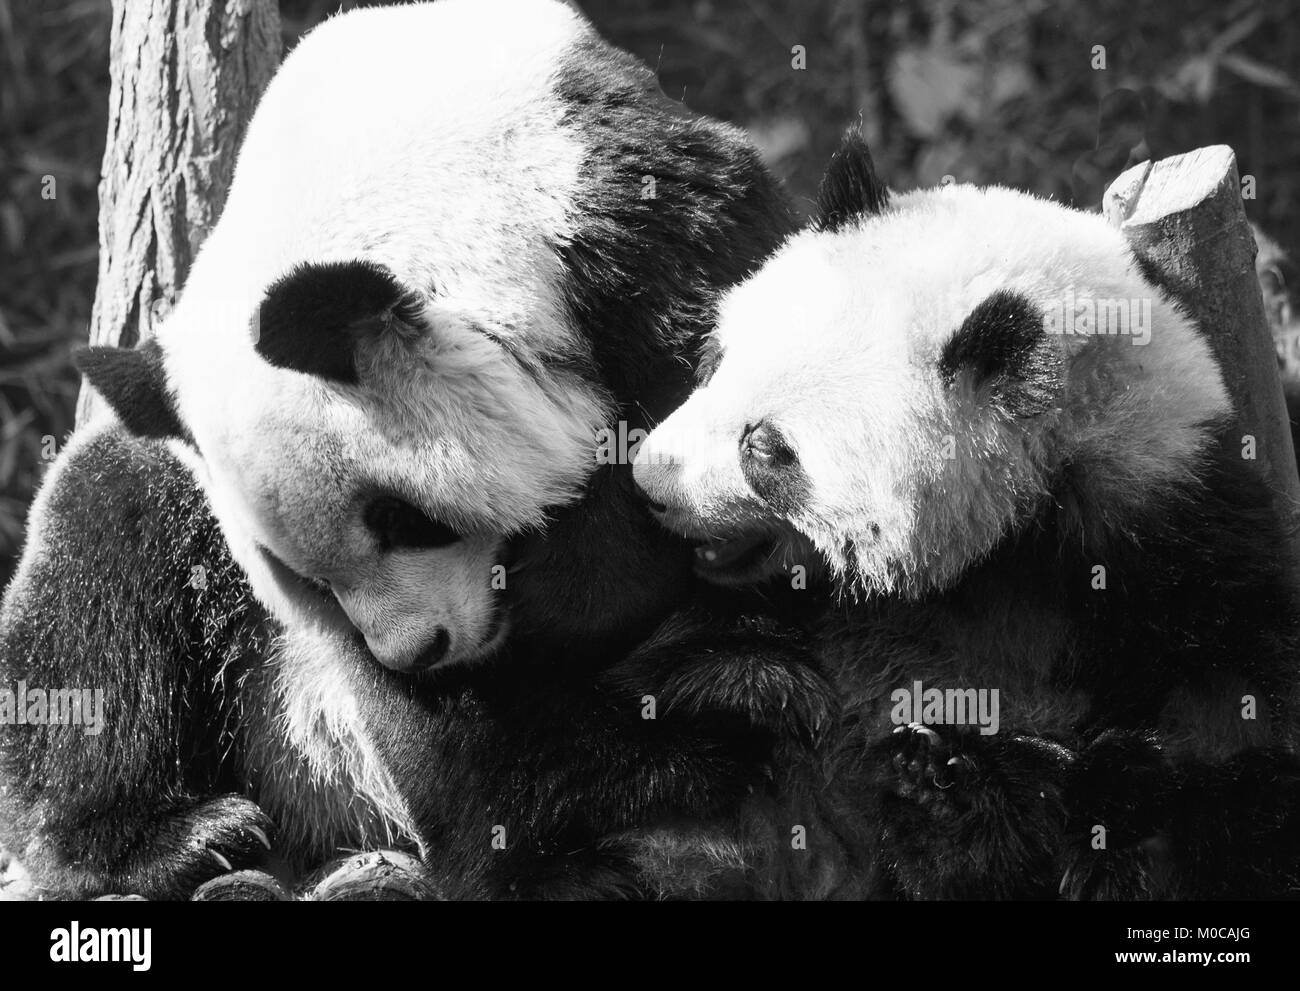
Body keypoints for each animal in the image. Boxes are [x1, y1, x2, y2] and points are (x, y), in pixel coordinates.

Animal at [0, 0, 804, 899]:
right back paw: (184, 840)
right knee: (98, 568)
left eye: (403, 519)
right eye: (302, 580)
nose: (417, 651)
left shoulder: (669, 245)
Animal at [633, 129, 1300, 899]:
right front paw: (758, 685)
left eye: (766, 447)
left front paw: (965, 792)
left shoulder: (1175, 551)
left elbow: (1223, 770)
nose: (648, 479)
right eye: (715, 362)